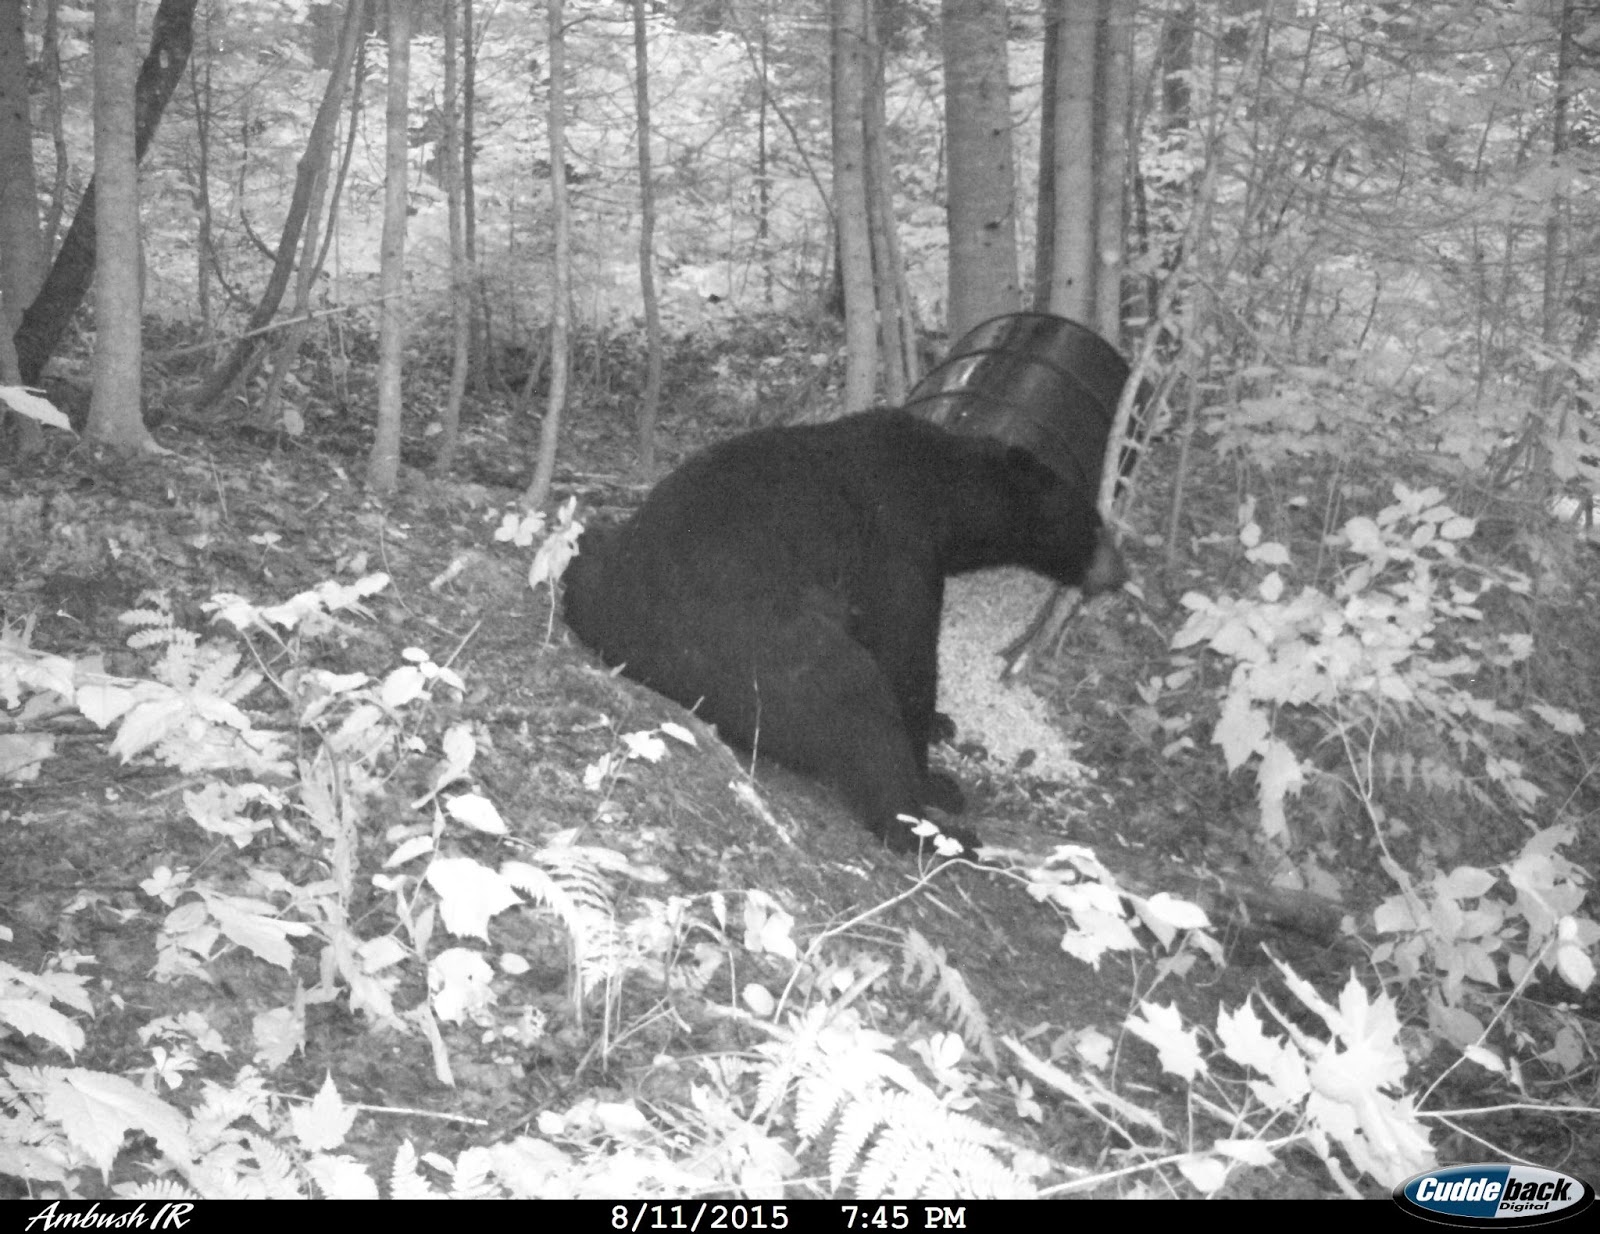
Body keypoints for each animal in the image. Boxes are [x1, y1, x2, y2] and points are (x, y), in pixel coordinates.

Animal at [562, 408, 1124, 854]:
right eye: (1095, 525)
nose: (1122, 571)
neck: (942, 487)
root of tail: (636, 648)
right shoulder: (897, 542)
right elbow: (904, 652)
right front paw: (935, 778)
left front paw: (943, 725)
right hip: (748, 648)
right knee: (852, 691)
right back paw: (933, 832)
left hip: (599, 568)